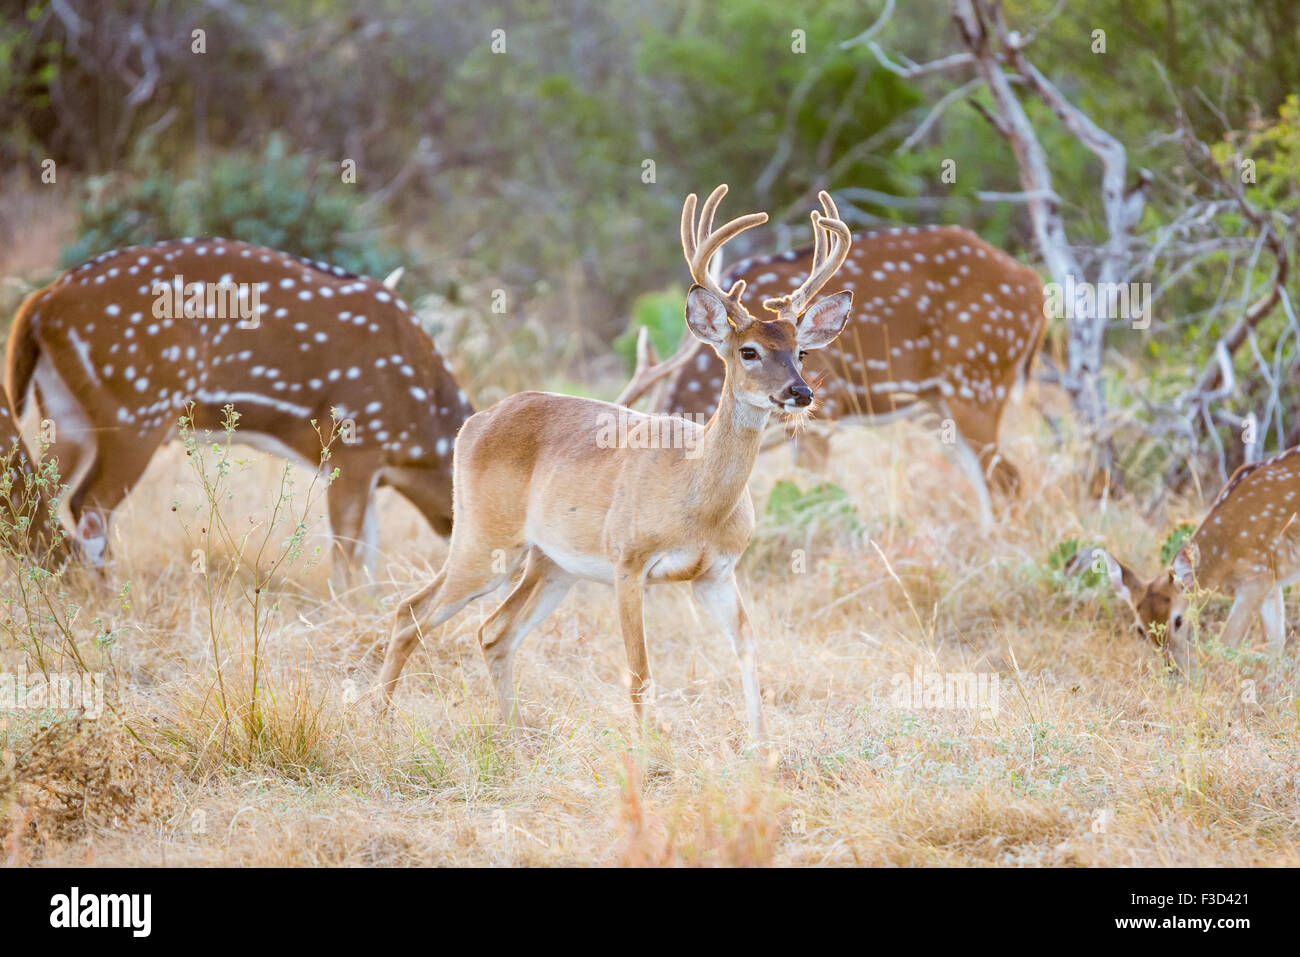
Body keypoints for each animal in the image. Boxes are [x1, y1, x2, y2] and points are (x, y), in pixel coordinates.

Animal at [4, 239, 473, 586]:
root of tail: (41, 302)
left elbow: (368, 551)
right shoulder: (355, 442)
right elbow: (348, 553)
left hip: (65, 412)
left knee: (40, 490)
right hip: (137, 408)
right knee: (89, 505)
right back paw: (107, 593)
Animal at [378, 186, 854, 745]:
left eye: (801, 352)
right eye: (749, 351)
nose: (800, 393)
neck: (696, 500)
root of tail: (473, 423)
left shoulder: (717, 572)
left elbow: (748, 652)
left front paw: (762, 748)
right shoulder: (627, 560)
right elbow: (640, 672)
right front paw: (648, 753)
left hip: (552, 563)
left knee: (492, 630)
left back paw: (510, 731)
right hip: (484, 536)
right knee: (411, 612)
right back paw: (379, 719)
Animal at [625, 211, 1045, 526]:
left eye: (803, 354)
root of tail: (1036, 286)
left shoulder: (825, 413)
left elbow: (814, 499)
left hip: (977, 379)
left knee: (1008, 479)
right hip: (934, 407)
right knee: (989, 482)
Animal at [1097, 446, 1300, 672]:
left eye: (1178, 620)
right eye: (1140, 630)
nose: (1172, 668)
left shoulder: (1256, 576)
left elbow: (1227, 642)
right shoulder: (1272, 582)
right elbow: (1275, 648)